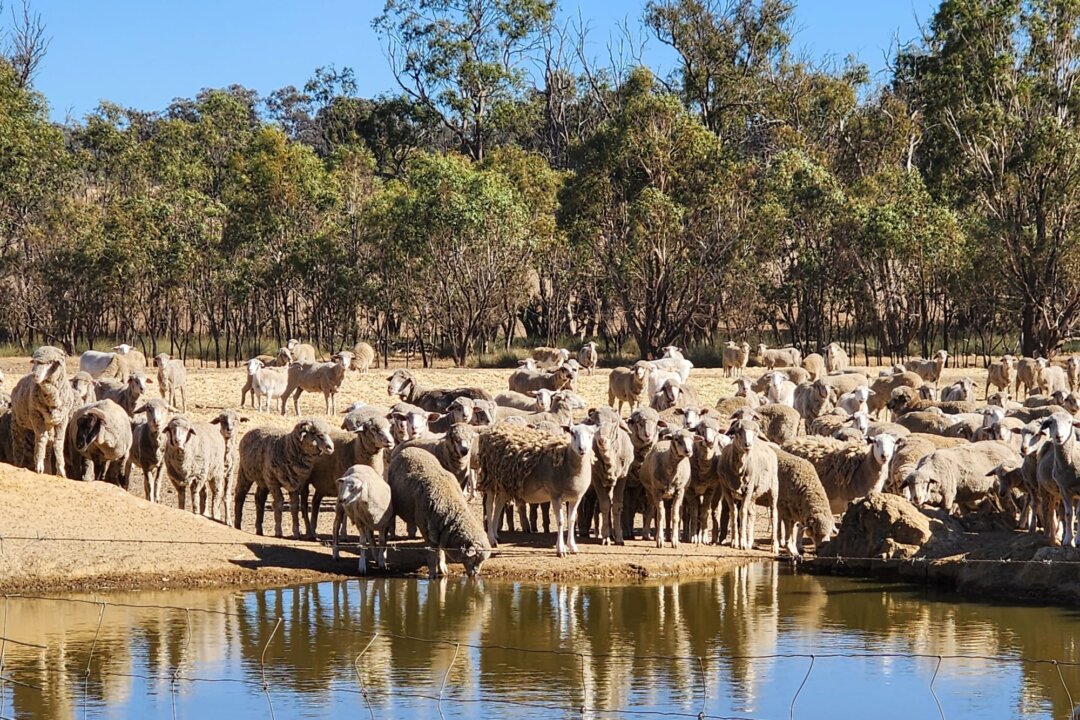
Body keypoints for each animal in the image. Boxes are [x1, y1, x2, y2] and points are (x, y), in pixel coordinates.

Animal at [11, 346, 75, 476]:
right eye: (34, 362)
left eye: (50, 362)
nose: (34, 375)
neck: (52, 398)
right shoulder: (36, 415)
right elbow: (41, 439)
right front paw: (39, 466)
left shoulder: (63, 420)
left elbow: (58, 443)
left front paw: (61, 470)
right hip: (18, 422)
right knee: (19, 445)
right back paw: (19, 464)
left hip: (48, 424)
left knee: (48, 444)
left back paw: (48, 469)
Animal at [388, 447, 491, 577]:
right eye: (476, 558)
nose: (475, 574)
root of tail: (407, 449)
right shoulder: (427, 529)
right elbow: (434, 552)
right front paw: (435, 571)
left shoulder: (441, 533)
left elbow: (440, 550)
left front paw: (442, 568)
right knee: (392, 519)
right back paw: (392, 535)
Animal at [478, 422, 600, 556]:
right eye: (572, 433)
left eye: (591, 433)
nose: (582, 449)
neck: (566, 463)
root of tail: (493, 427)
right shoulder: (555, 495)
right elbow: (561, 521)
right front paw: (560, 549)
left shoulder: (576, 497)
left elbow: (571, 520)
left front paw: (572, 547)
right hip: (490, 478)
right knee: (489, 506)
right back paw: (491, 538)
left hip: (505, 483)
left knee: (499, 504)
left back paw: (496, 536)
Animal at [716, 418, 778, 553]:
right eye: (738, 431)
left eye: (755, 432)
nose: (748, 445)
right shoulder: (726, 489)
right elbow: (734, 513)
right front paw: (735, 541)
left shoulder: (748, 490)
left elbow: (742, 513)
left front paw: (742, 543)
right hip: (754, 494)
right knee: (752, 513)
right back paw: (750, 542)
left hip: (773, 488)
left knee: (774, 513)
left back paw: (774, 546)